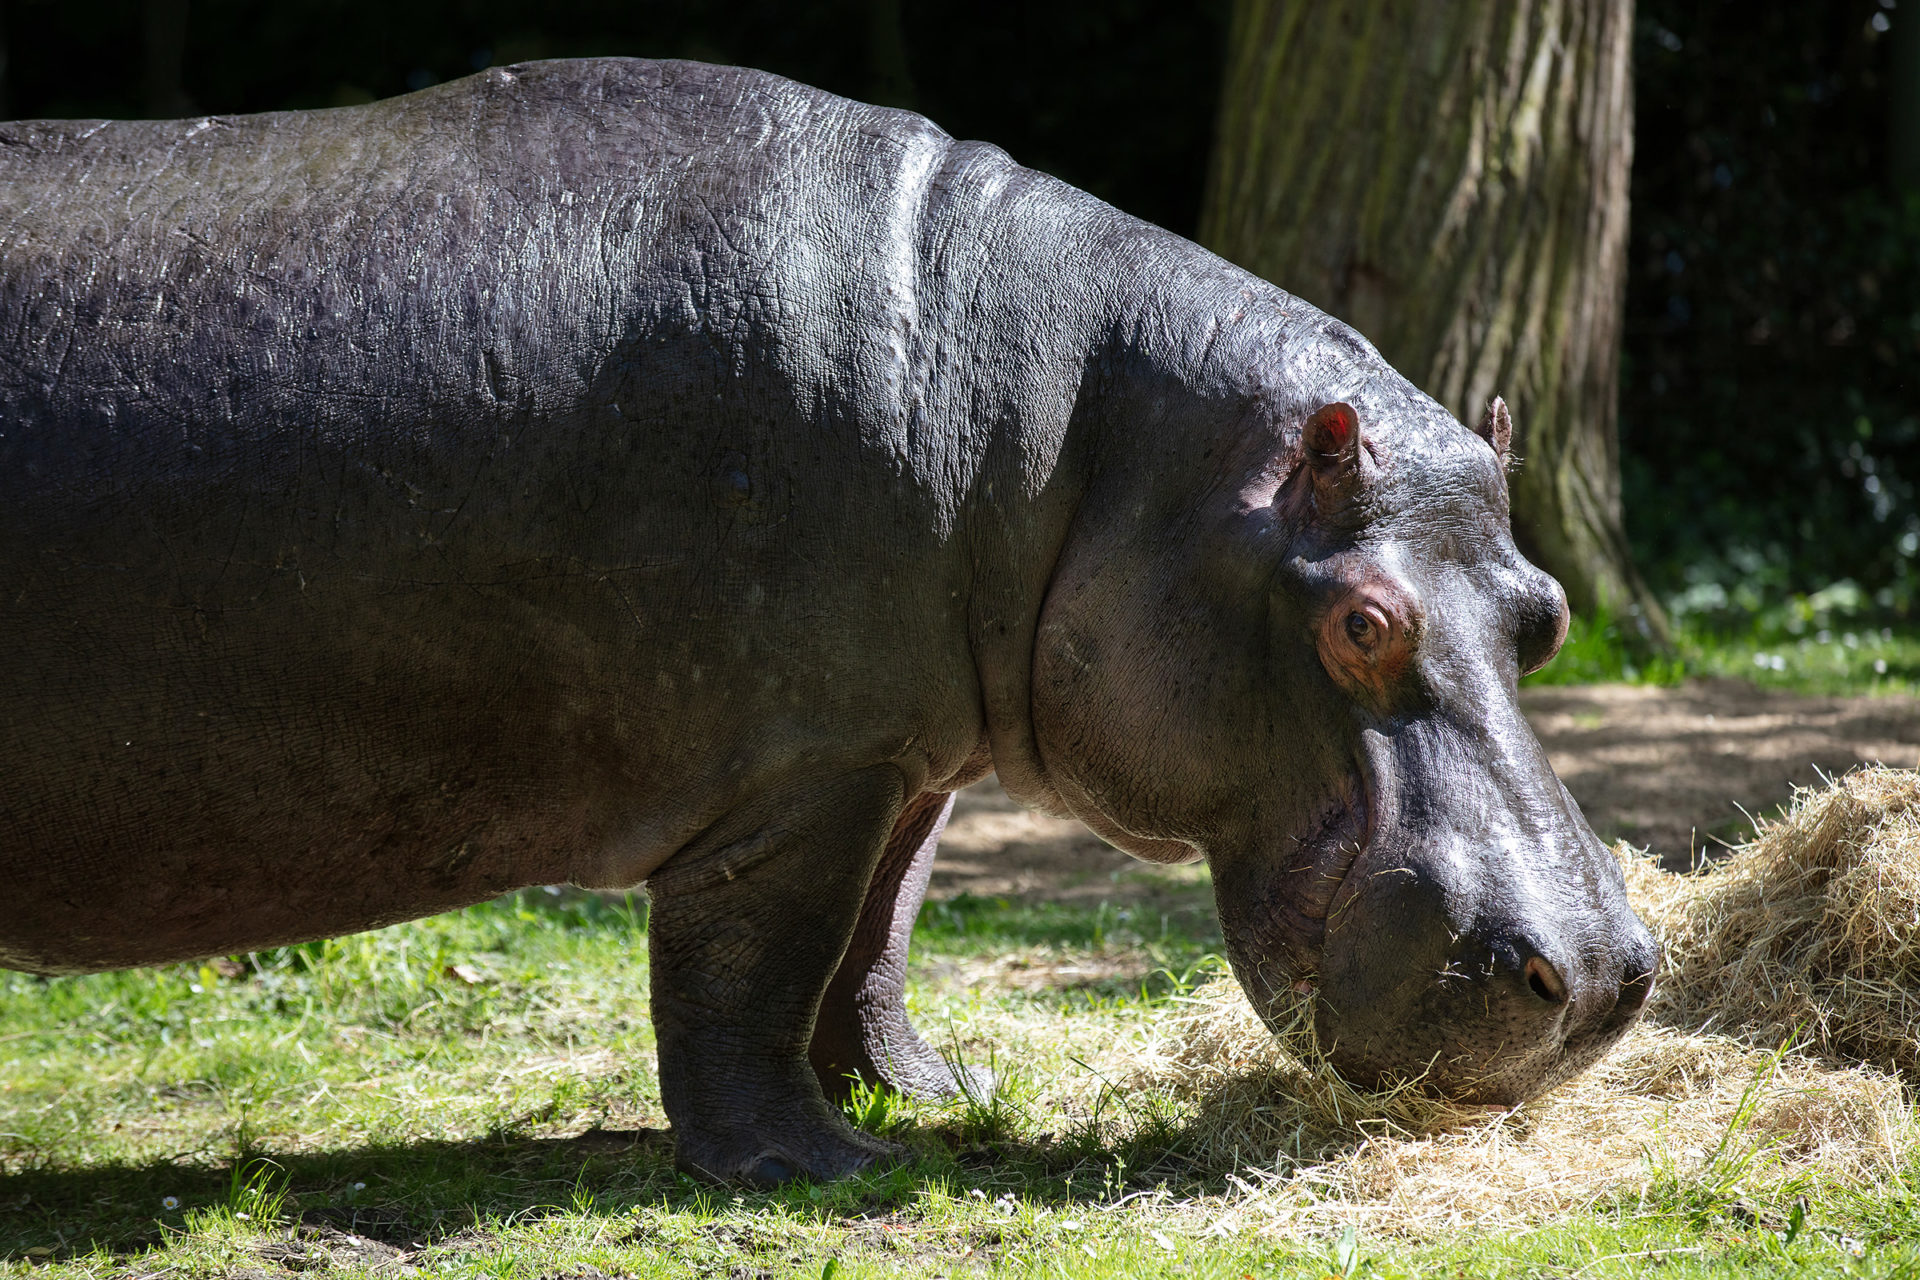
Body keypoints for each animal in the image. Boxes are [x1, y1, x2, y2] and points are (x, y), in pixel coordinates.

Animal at [0, 57, 1658, 1185]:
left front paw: (927, 1096)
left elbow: (880, 934)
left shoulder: (905, 752)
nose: (1600, 978)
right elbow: (754, 957)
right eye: (1362, 623)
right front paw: (819, 1168)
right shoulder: (795, 773)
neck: (1090, 445)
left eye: (1547, 612)